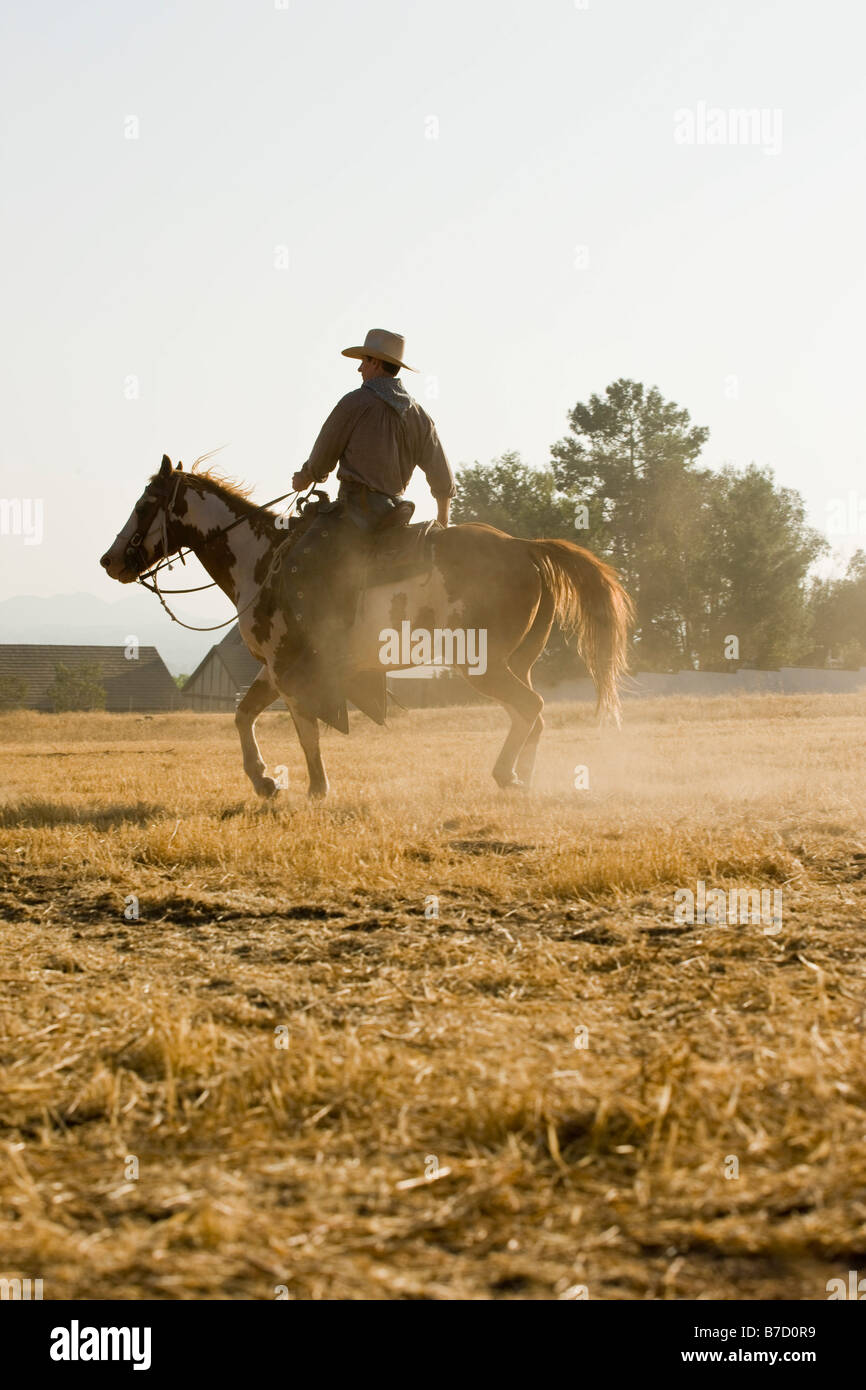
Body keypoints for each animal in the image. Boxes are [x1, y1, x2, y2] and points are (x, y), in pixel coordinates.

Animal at [100, 455, 633, 799]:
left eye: (145, 504)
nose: (109, 560)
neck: (263, 559)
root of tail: (525, 547)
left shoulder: (291, 668)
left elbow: (306, 729)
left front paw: (316, 789)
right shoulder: (272, 668)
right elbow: (243, 713)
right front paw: (263, 780)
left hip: (483, 665)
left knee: (531, 708)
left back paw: (507, 775)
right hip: (516, 662)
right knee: (533, 715)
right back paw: (526, 778)